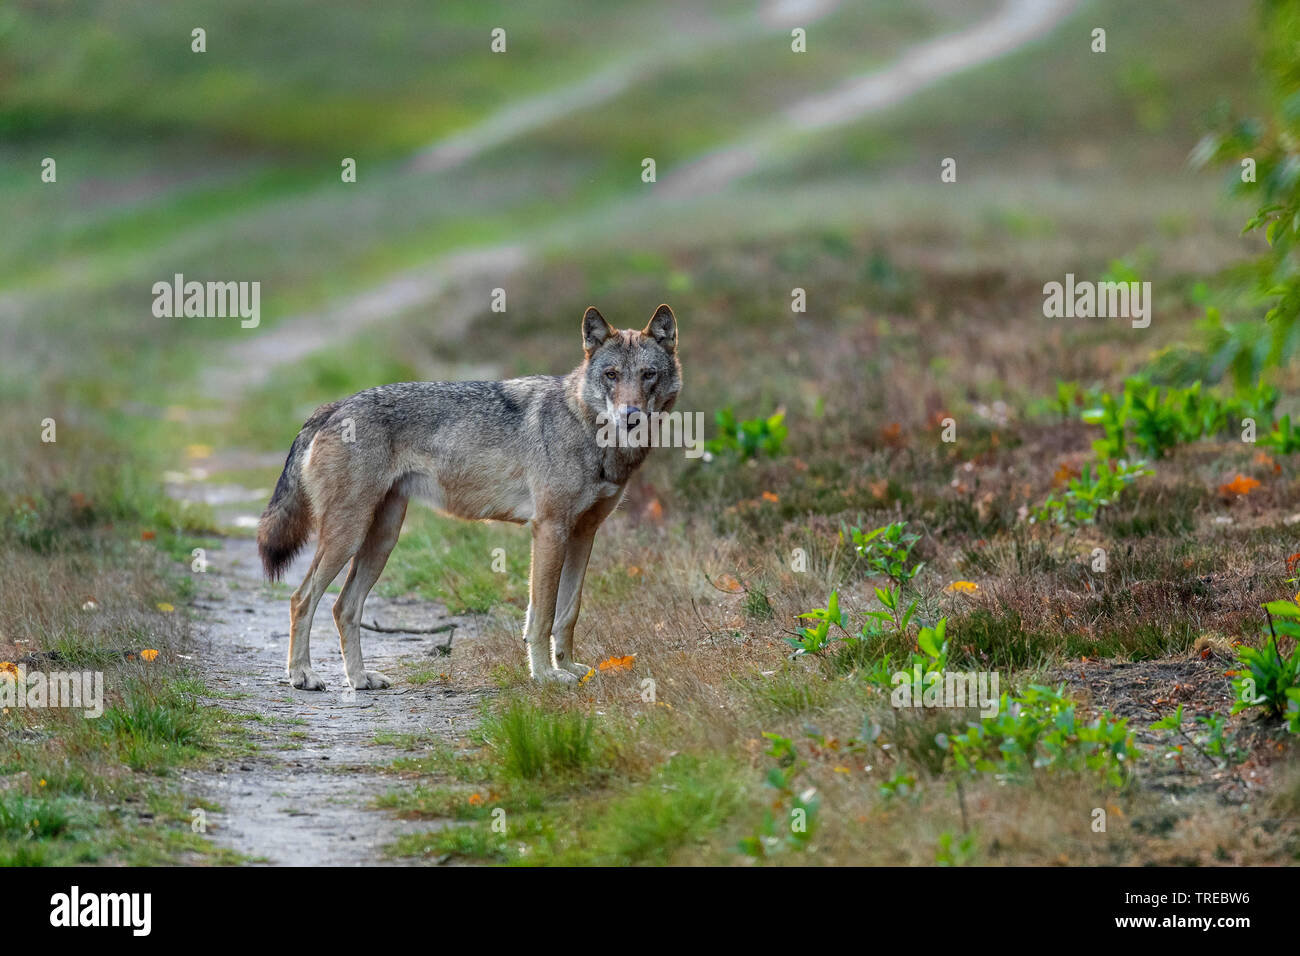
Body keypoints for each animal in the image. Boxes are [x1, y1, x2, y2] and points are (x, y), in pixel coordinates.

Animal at [256, 304, 680, 689]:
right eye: (611, 375)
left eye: (648, 375)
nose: (631, 416)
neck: (589, 430)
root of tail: (332, 406)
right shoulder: (549, 529)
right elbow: (541, 616)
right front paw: (545, 676)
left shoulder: (583, 534)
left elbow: (568, 612)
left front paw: (571, 669)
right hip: (348, 536)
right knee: (301, 598)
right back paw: (302, 675)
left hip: (381, 540)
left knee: (343, 606)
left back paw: (359, 679)